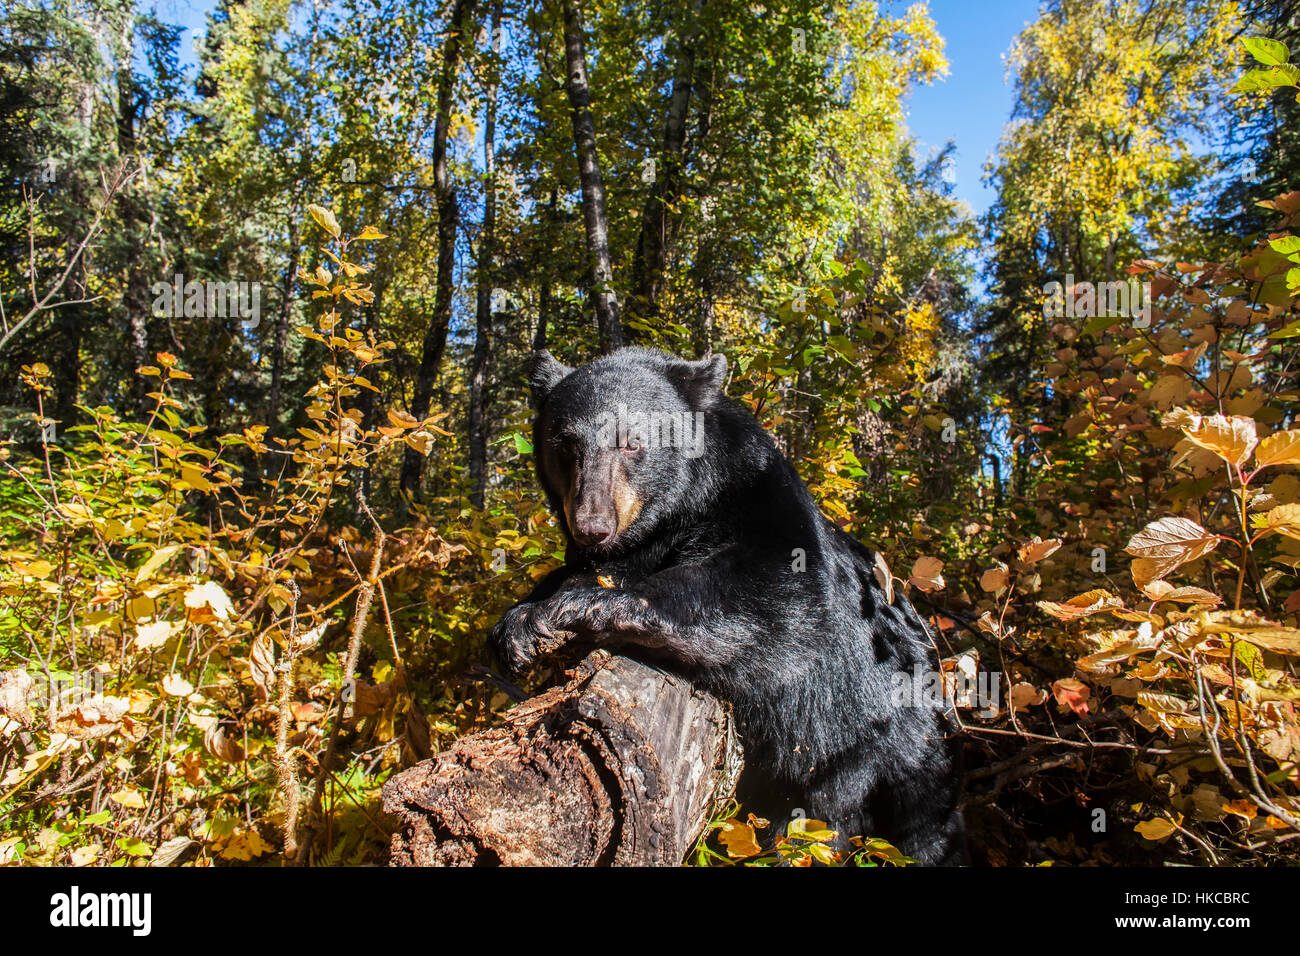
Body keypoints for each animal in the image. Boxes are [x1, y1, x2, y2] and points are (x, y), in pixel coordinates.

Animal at [490, 346, 965, 865]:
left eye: (632, 442)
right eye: (565, 445)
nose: (592, 525)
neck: (682, 506)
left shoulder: (755, 488)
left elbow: (782, 589)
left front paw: (577, 606)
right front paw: (518, 625)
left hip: (883, 749)